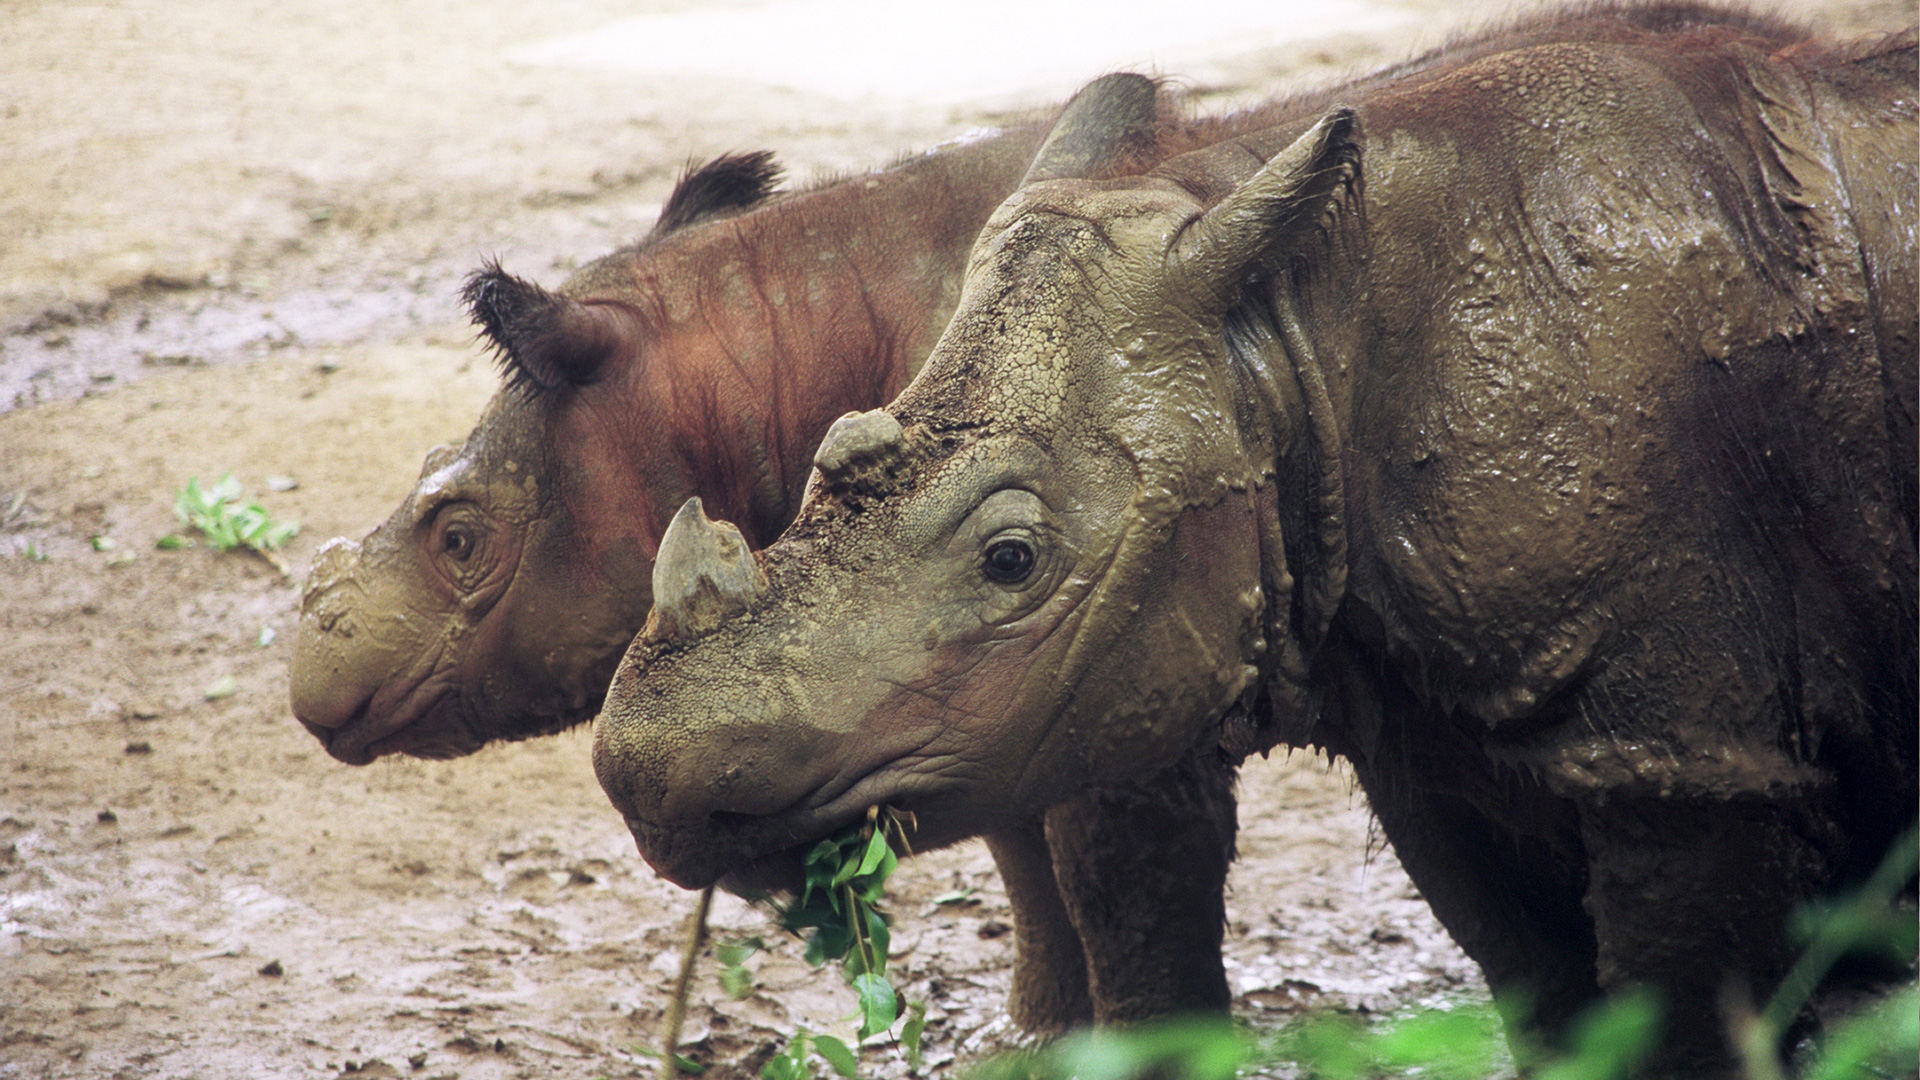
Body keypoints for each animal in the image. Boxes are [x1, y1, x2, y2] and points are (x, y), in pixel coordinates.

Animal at [592, 8, 1918, 1073]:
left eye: (1012, 560)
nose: (644, 778)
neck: (1296, 336)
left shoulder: (1694, 756)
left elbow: (1674, 1015)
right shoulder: (1439, 737)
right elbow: (1544, 991)